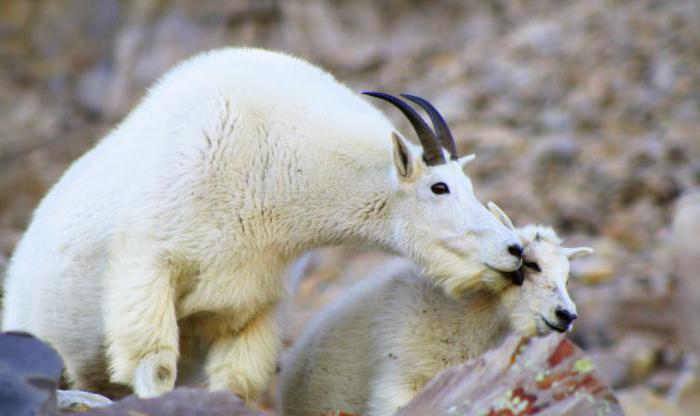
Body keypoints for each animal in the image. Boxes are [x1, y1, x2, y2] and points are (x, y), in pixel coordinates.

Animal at [1, 48, 524, 400]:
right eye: (440, 187)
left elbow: (236, 382)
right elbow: (155, 369)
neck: (274, 161)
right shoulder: (148, 271)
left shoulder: (251, 303)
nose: (514, 250)